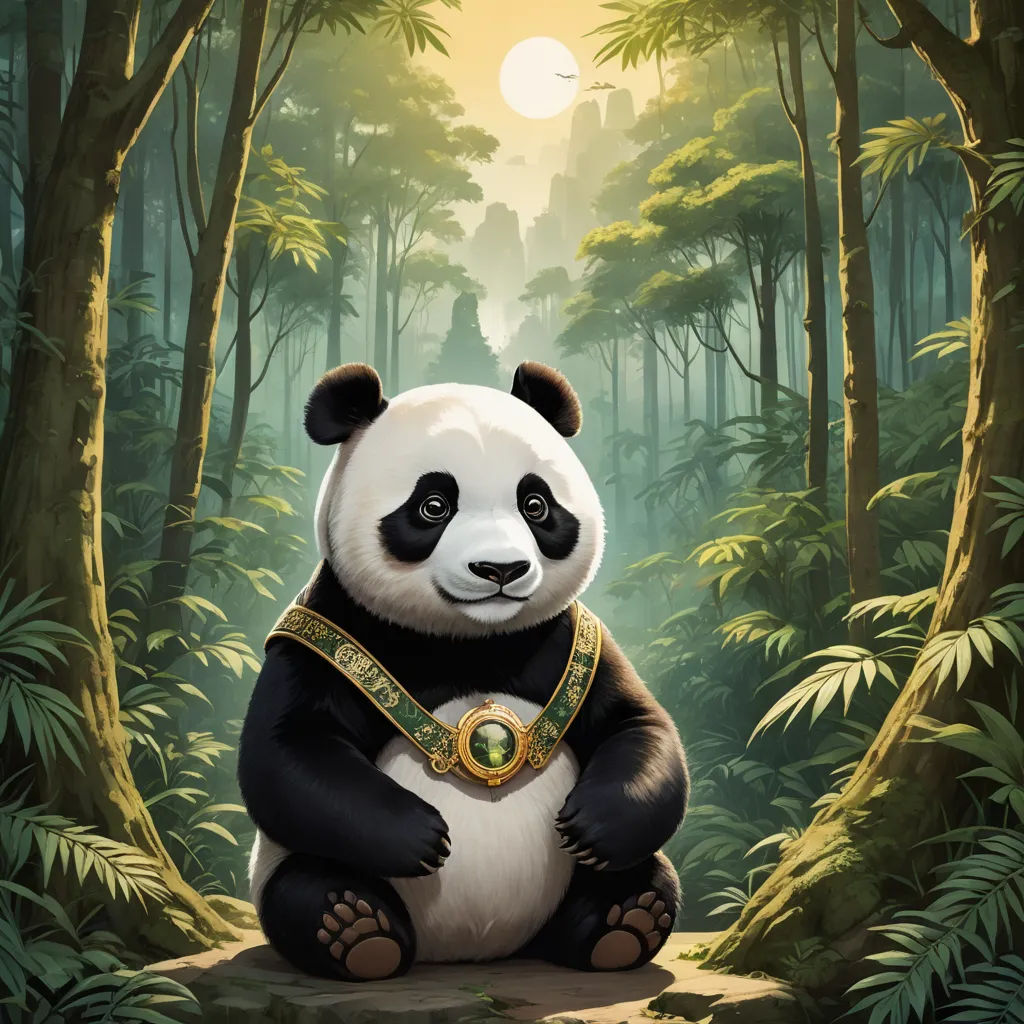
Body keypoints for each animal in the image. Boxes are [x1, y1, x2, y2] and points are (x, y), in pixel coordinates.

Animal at [239, 361, 688, 983]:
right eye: (434, 506)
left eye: (535, 505)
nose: (500, 568)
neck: (470, 641)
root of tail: (471, 950)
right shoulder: (324, 633)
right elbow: (286, 753)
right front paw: (421, 835)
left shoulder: (576, 641)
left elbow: (639, 727)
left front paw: (592, 826)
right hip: (287, 866)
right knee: (302, 886)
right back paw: (356, 931)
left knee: (644, 874)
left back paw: (624, 922)